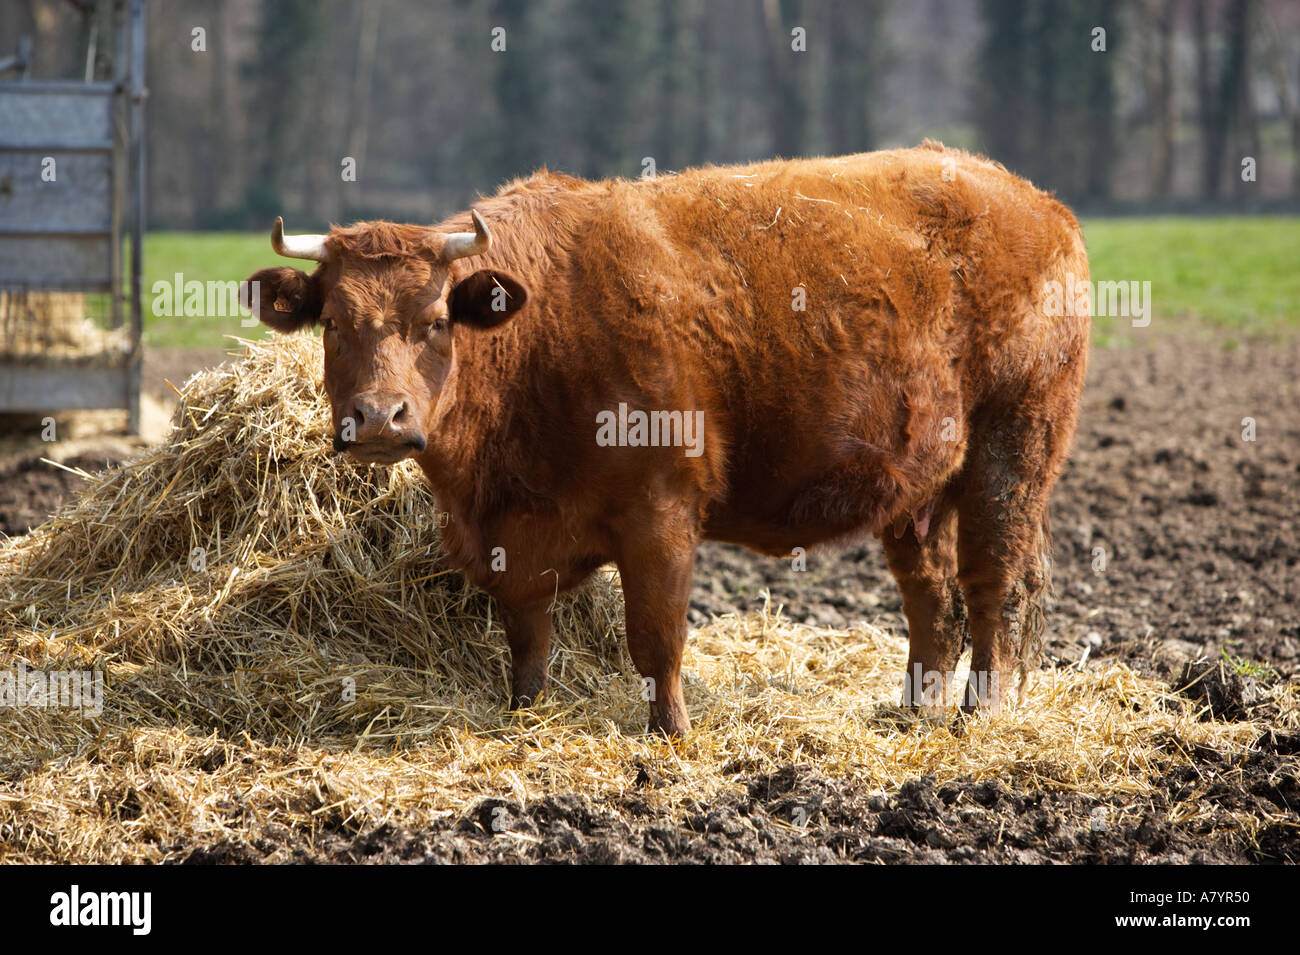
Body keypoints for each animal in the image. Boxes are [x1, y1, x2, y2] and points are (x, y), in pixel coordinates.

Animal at [247, 142, 1090, 736]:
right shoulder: (514, 540)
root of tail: (1037, 201)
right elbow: (527, 639)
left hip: (1013, 454)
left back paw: (979, 711)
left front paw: (671, 733)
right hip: (919, 488)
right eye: (334, 322)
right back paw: (917, 710)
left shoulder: (660, 513)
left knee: (995, 585)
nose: (378, 418)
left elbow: (656, 638)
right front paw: (525, 715)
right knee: (933, 600)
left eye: (433, 322)